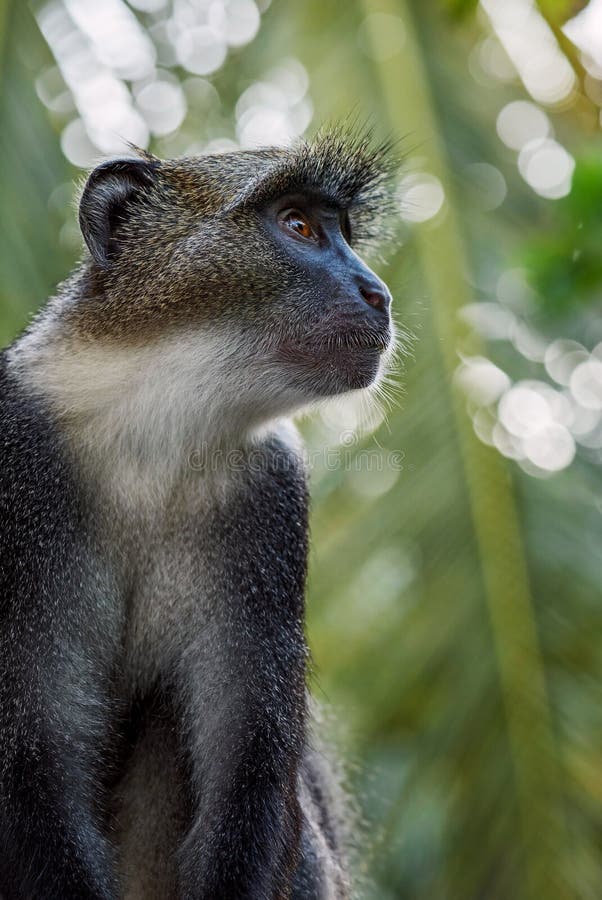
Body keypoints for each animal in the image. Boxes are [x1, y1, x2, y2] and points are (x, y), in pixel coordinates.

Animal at [0, 129, 396, 899]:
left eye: (341, 229)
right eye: (299, 225)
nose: (379, 294)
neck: (156, 429)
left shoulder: (271, 499)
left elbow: (247, 771)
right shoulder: (20, 458)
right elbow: (34, 757)